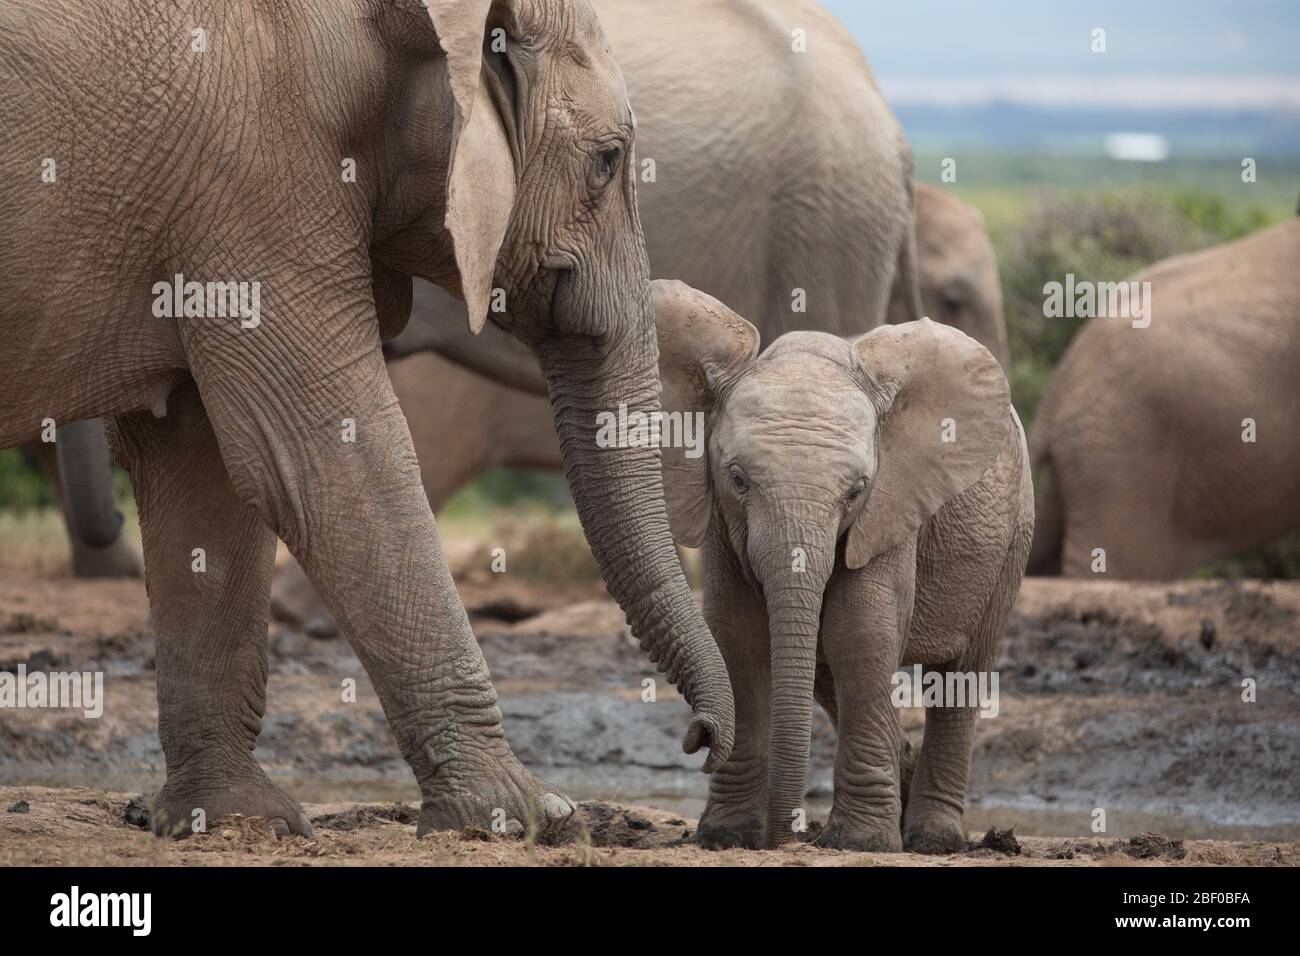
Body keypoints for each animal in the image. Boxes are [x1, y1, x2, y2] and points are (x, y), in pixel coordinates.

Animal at [0, 0, 735, 837]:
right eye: (609, 161)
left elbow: (201, 467)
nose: (699, 740)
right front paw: (526, 815)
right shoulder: (260, 178)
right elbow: (321, 456)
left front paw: (233, 820)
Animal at [649, 279, 1033, 852]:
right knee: (824, 666)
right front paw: (726, 836)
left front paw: (862, 843)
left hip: (1013, 534)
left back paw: (934, 840)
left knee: (962, 672)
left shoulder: (890, 506)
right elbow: (738, 634)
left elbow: (861, 633)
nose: (698, 737)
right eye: (737, 479)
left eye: (855, 491)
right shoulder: (723, 521)